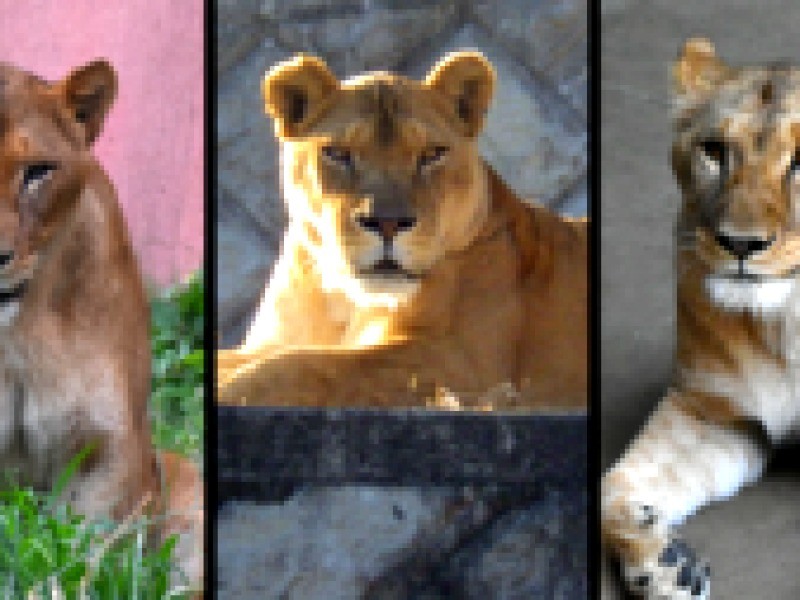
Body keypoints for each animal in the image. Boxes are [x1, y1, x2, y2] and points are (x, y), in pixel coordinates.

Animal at [218, 51, 588, 410]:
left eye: (432, 153)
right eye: (337, 153)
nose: (388, 223)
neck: (345, 299)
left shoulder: (470, 366)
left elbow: (313, 365)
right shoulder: (270, 342)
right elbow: (242, 357)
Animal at [602, 39, 800, 599]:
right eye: (715, 151)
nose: (740, 243)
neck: (785, 321)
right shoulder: (711, 413)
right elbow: (613, 487)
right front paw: (670, 569)